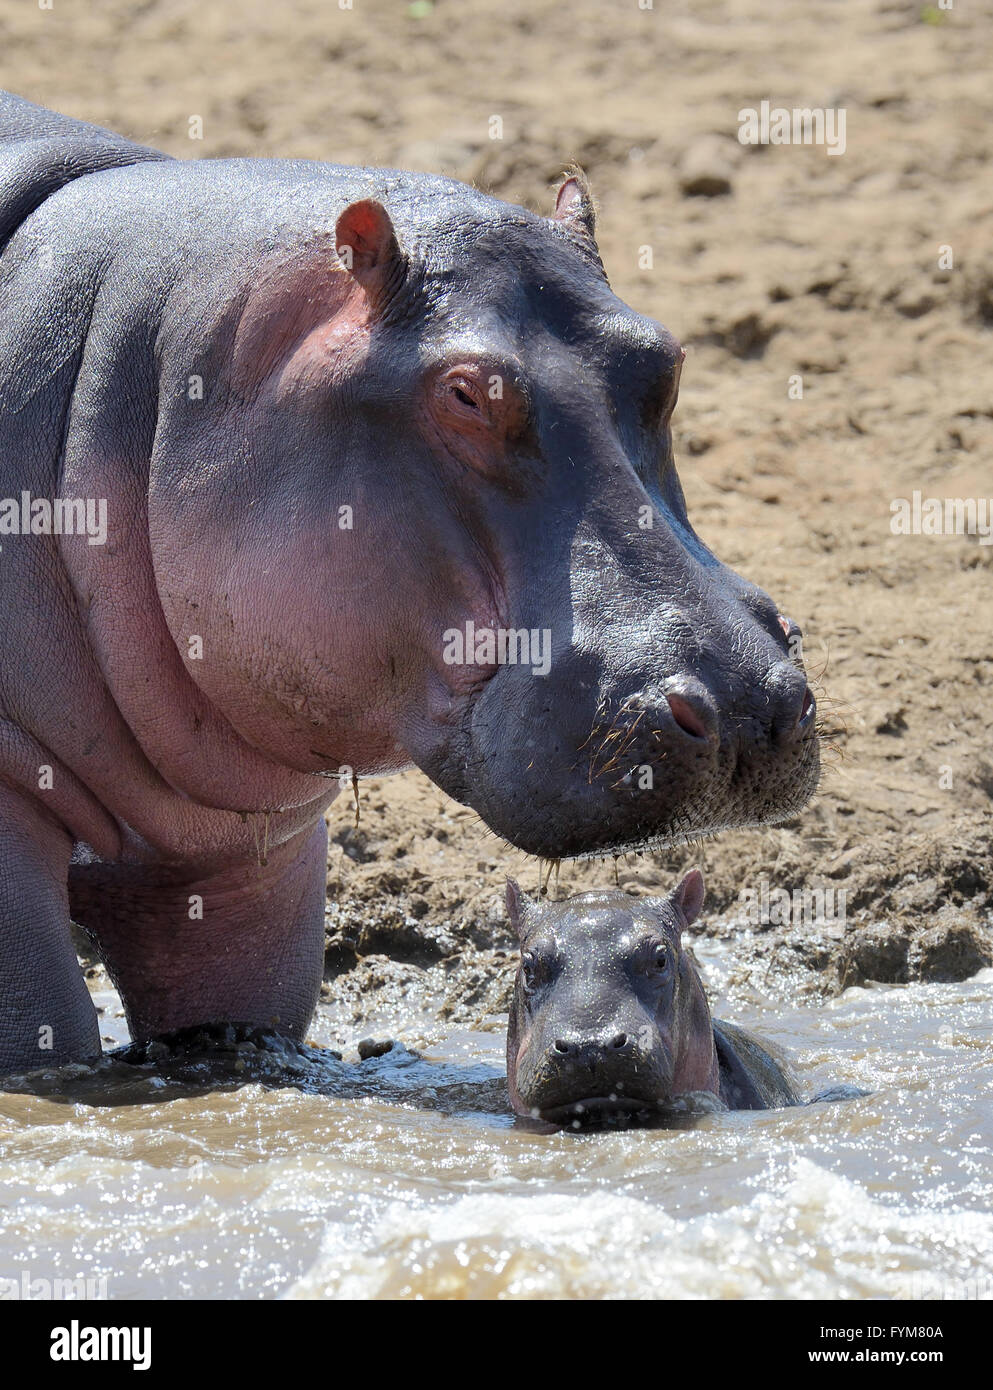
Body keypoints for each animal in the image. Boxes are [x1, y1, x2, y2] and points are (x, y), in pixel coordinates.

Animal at [0, 91, 819, 1074]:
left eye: (667, 359)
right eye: (464, 393)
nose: (746, 704)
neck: (134, 380)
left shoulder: (246, 866)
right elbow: (41, 1021)